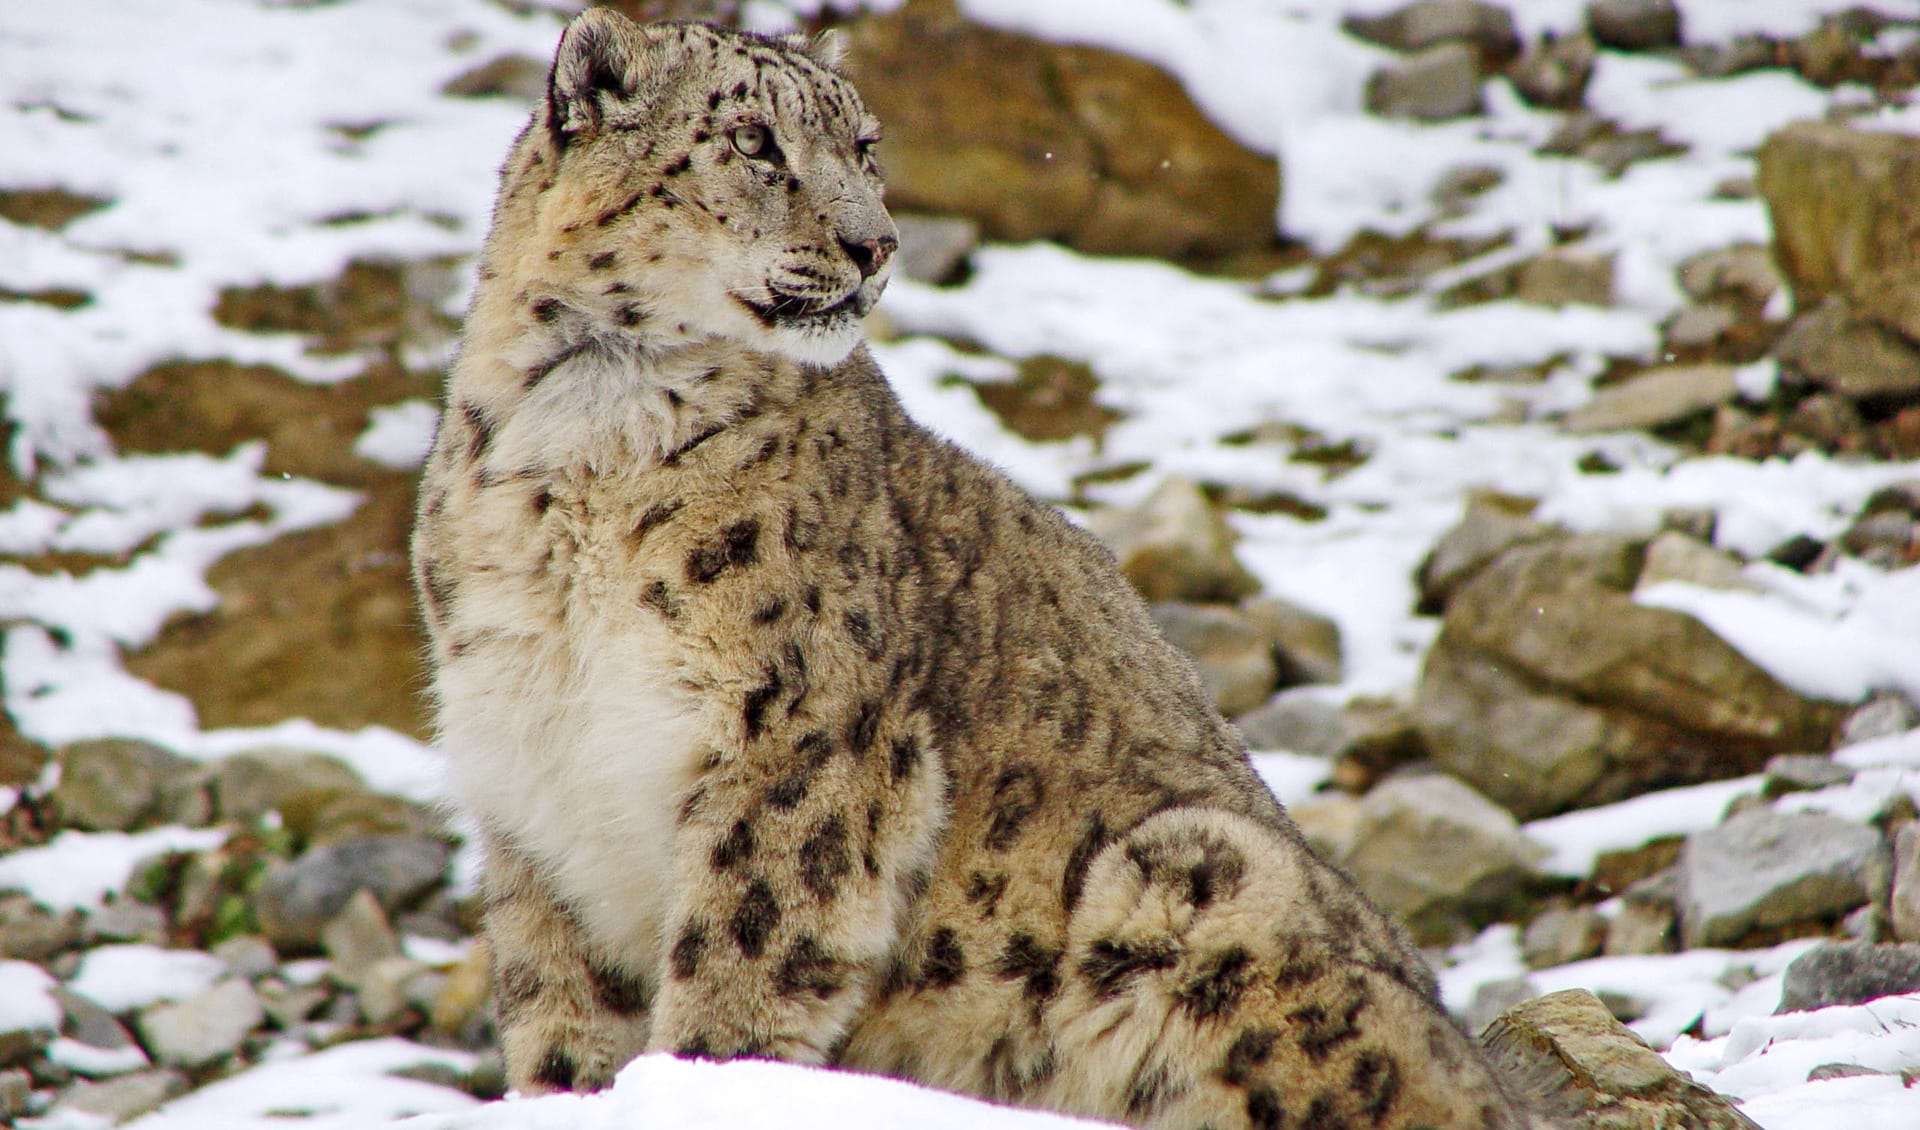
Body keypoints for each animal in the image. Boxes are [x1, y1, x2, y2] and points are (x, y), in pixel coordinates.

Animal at [412, 9, 1544, 1129]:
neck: (582, 437)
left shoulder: (800, 737)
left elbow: (745, 947)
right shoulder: (527, 777)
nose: (875, 242)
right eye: (753, 143)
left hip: (1203, 871)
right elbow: (558, 995)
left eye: (864, 146)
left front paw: (704, 1081)